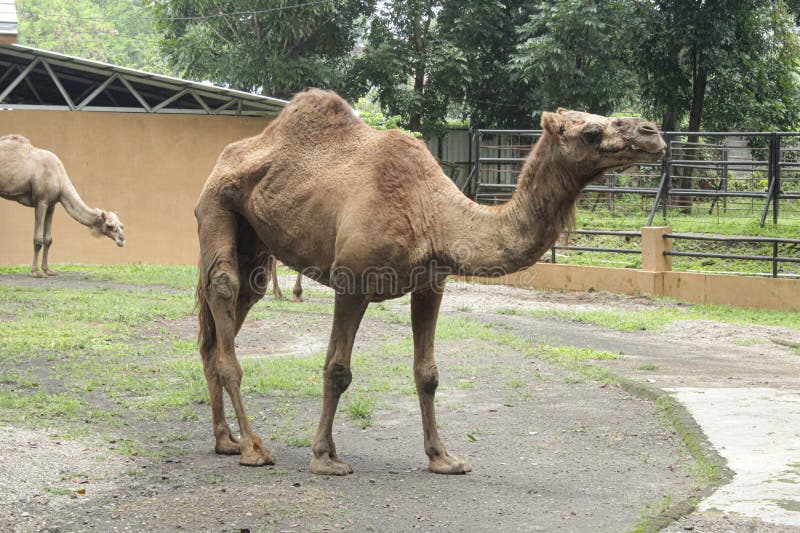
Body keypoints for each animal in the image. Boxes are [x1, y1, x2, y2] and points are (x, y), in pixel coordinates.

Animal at [0, 135, 125, 276]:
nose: (122, 239)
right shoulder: (41, 201)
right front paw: (36, 272)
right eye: (110, 226)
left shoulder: (51, 204)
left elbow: (48, 239)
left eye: (122, 226)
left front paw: (48, 270)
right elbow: (38, 239)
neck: (59, 178)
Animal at [194, 90, 665, 475]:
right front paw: (324, 457)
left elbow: (428, 373)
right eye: (591, 131)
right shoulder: (352, 280)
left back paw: (225, 440)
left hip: (254, 238)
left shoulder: (430, 284)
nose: (653, 132)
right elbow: (337, 369)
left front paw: (443, 457)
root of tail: (226, 156)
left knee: (228, 318)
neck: (433, 215)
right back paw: (253, 447)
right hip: (217, 204)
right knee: (223, 291)